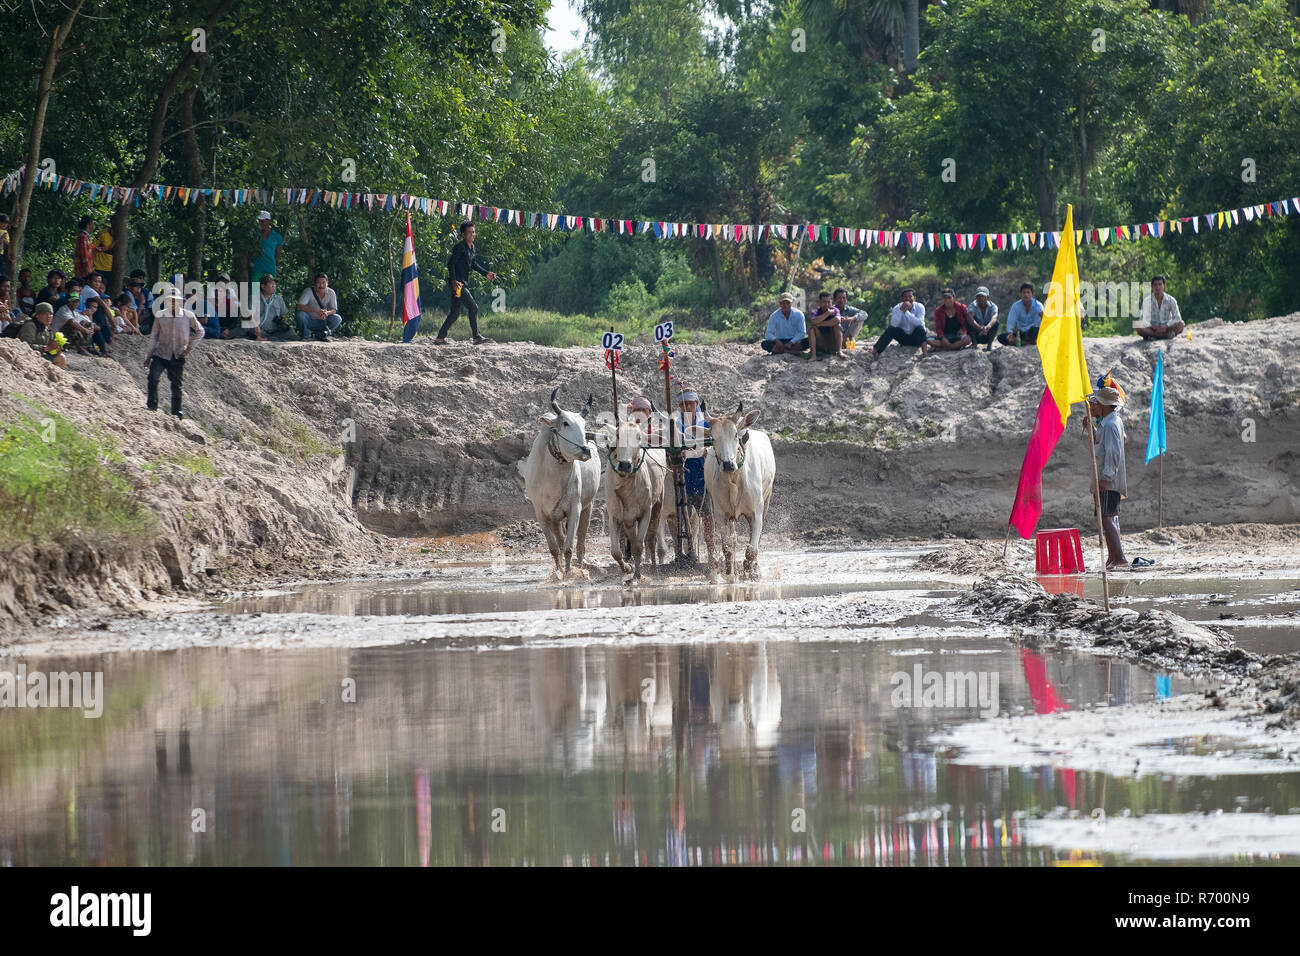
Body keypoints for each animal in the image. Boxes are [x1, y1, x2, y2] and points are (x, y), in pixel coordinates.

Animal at [523, 388, 602, 581]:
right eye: (565, 423)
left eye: (583, 424)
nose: (585, 450)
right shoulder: (541, 514)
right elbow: (553, 548)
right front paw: (558, 572)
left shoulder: (575, 508)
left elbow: (568, 547)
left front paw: (568, 573)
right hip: (556, 518)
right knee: (560, 541)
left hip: (588, 507)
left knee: (580, 543)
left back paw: (580, 566)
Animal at [599, 416, 668, 583]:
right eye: (618, 436)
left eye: (638, 437)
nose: (625, 464)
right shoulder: (614, 516)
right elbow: (616, 551)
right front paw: (627, 568)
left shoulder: (645, 513)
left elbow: (638, 545)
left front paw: (637, 575)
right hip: (629, 520)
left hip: (658, 504)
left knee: (651, 538)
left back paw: (654, 567)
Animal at [703, 402, 775, 578]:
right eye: (712, 438)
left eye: (735, 434)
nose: (728, 464)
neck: (734, 478)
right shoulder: (721, 514)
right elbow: (727, 547)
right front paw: (730, 573)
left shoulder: (756, 513)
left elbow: (752, 549)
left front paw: (751, 571)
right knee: (734, 539)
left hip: (767, 499)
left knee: (755, 540)